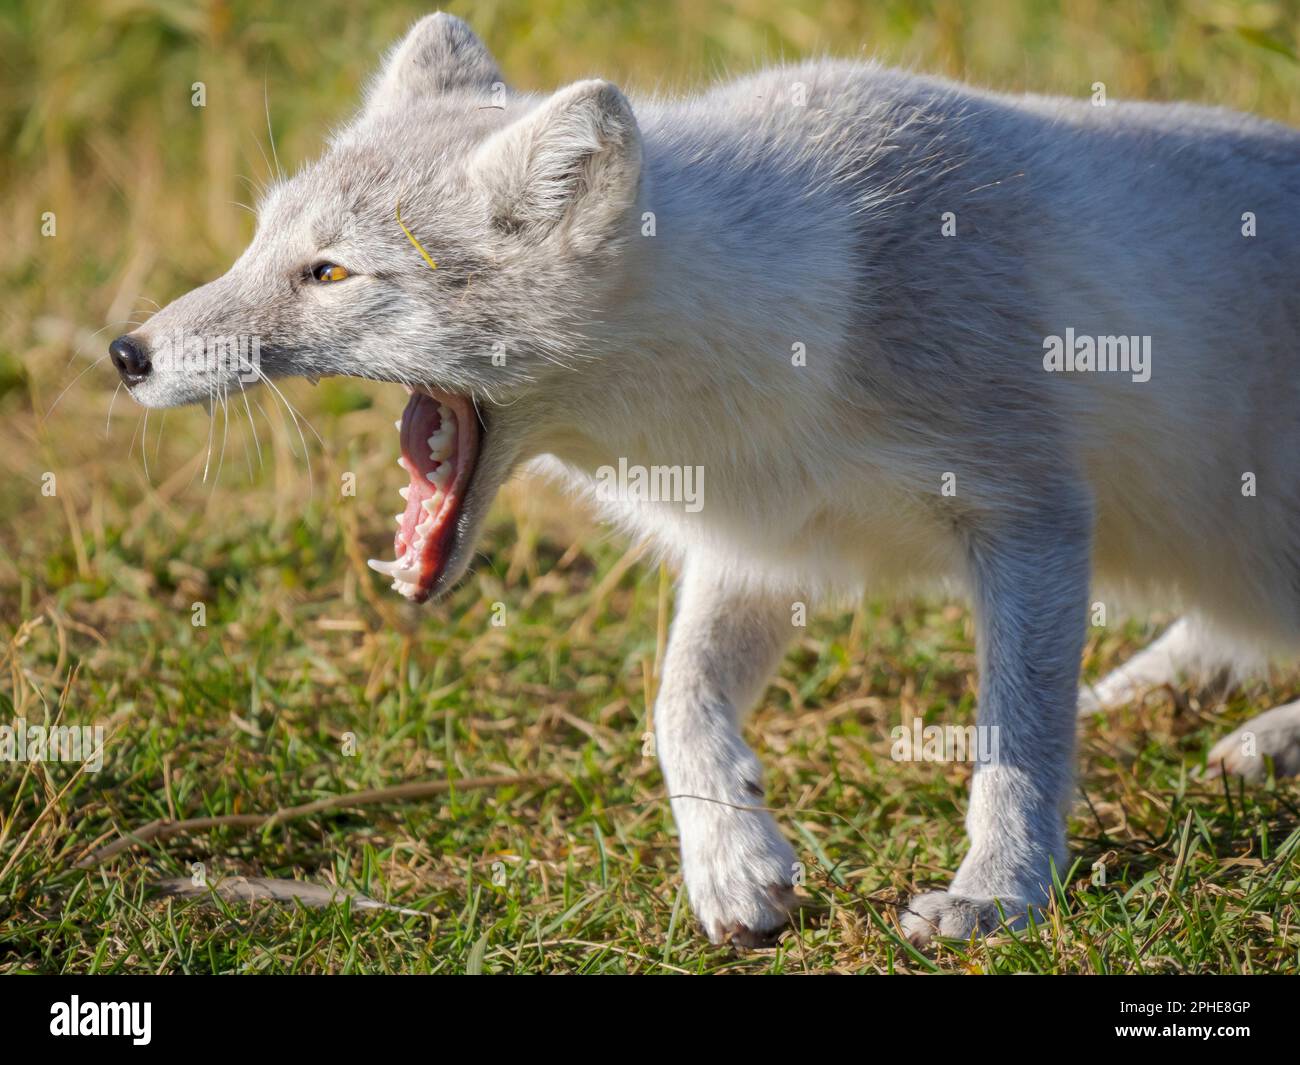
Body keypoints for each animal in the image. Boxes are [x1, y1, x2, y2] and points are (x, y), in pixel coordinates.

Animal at [108, 12, 1300, 947]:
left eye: (330, 272)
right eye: (259, 242)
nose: (126, 354)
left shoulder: (1031, 510)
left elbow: (1018, 740)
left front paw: (998, 897)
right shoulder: (756, 547)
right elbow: (677, 706)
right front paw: (732, 862)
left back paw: (1250, 732)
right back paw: (1159, 694)